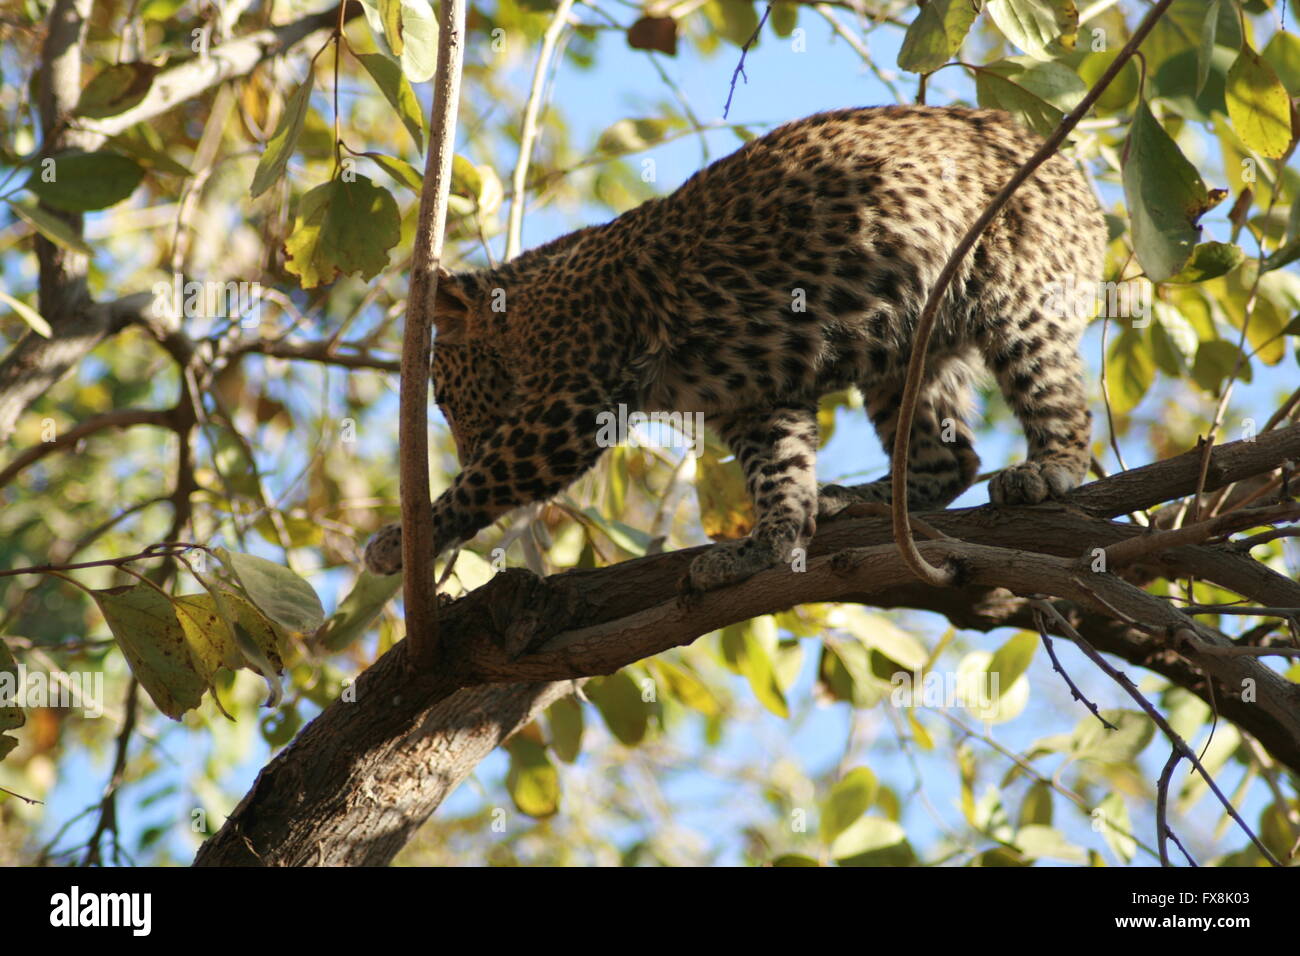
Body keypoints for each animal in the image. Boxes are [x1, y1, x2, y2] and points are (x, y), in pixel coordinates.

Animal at [363, 105, 1107, 592]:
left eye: (444, 395)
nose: (462, 449)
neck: (526, 312)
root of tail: (1075, 171)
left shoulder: (567, 406)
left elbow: (490, 481)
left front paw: (403, 539)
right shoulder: (758, 399)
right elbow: (780, 471)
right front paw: (769, 545)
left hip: (1019, 302)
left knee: (1060, 403)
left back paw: (1046, 471)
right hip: (910, 356)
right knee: (949, 456)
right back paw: (855, 496)